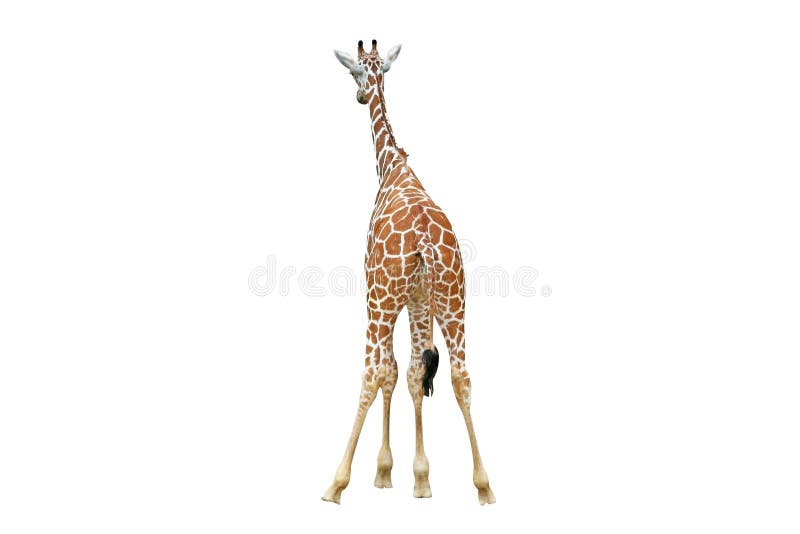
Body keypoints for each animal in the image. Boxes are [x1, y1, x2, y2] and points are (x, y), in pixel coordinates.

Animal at [321, 40, 495, 505]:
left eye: (354, 72)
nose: (360, 96)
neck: (392, 166)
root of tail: (426, 242)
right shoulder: (419, 300)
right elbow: (414, 374)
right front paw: (418, 478)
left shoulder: (375, 292)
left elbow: (389, 371)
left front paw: (385, 472)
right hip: (454, 300)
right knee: (460, 376)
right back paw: (484, 485)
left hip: (381, 301)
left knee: (369, 372)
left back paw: (335, 483)